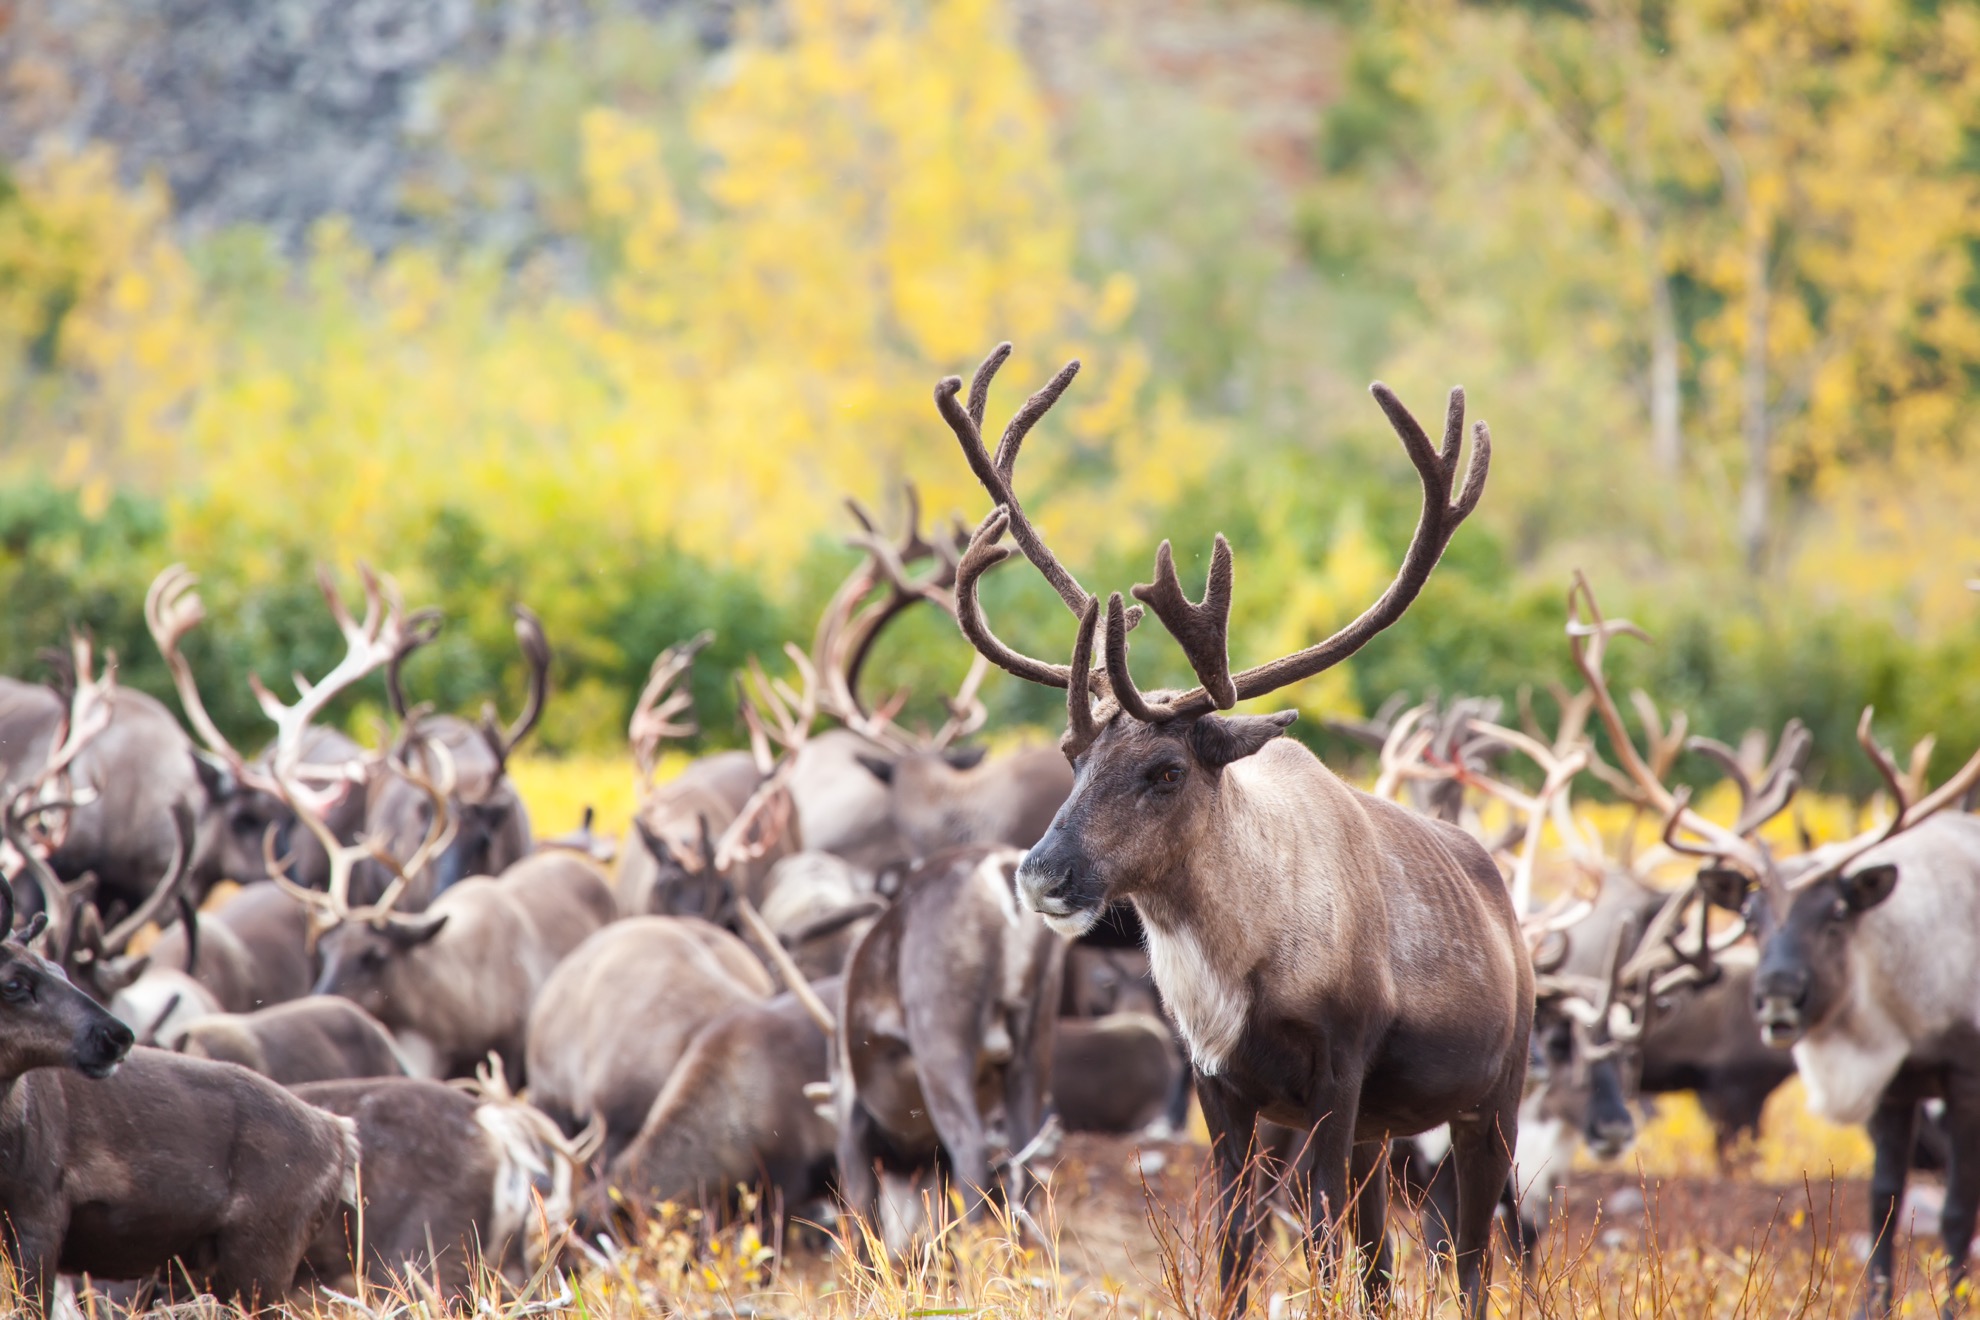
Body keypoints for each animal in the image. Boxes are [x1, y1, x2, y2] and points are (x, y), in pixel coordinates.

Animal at [0, 879, 359, 1314]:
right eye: (14, 984)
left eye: (58, 970)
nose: (115, 1035)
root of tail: (339, 1133)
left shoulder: (39, 1215)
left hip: (260, 1264)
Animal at [928, 342, 1525, 1315]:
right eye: (1070, 750)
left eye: (1166, 770)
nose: (1040, 874)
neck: (1238, 960)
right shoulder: (1220, 1086)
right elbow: (1239, 1245)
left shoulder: (1336, 1075)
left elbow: (1313, 1243)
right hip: (1384, 1125)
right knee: (1380, 1261)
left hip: (1492, 1098)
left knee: (1473, 1261)